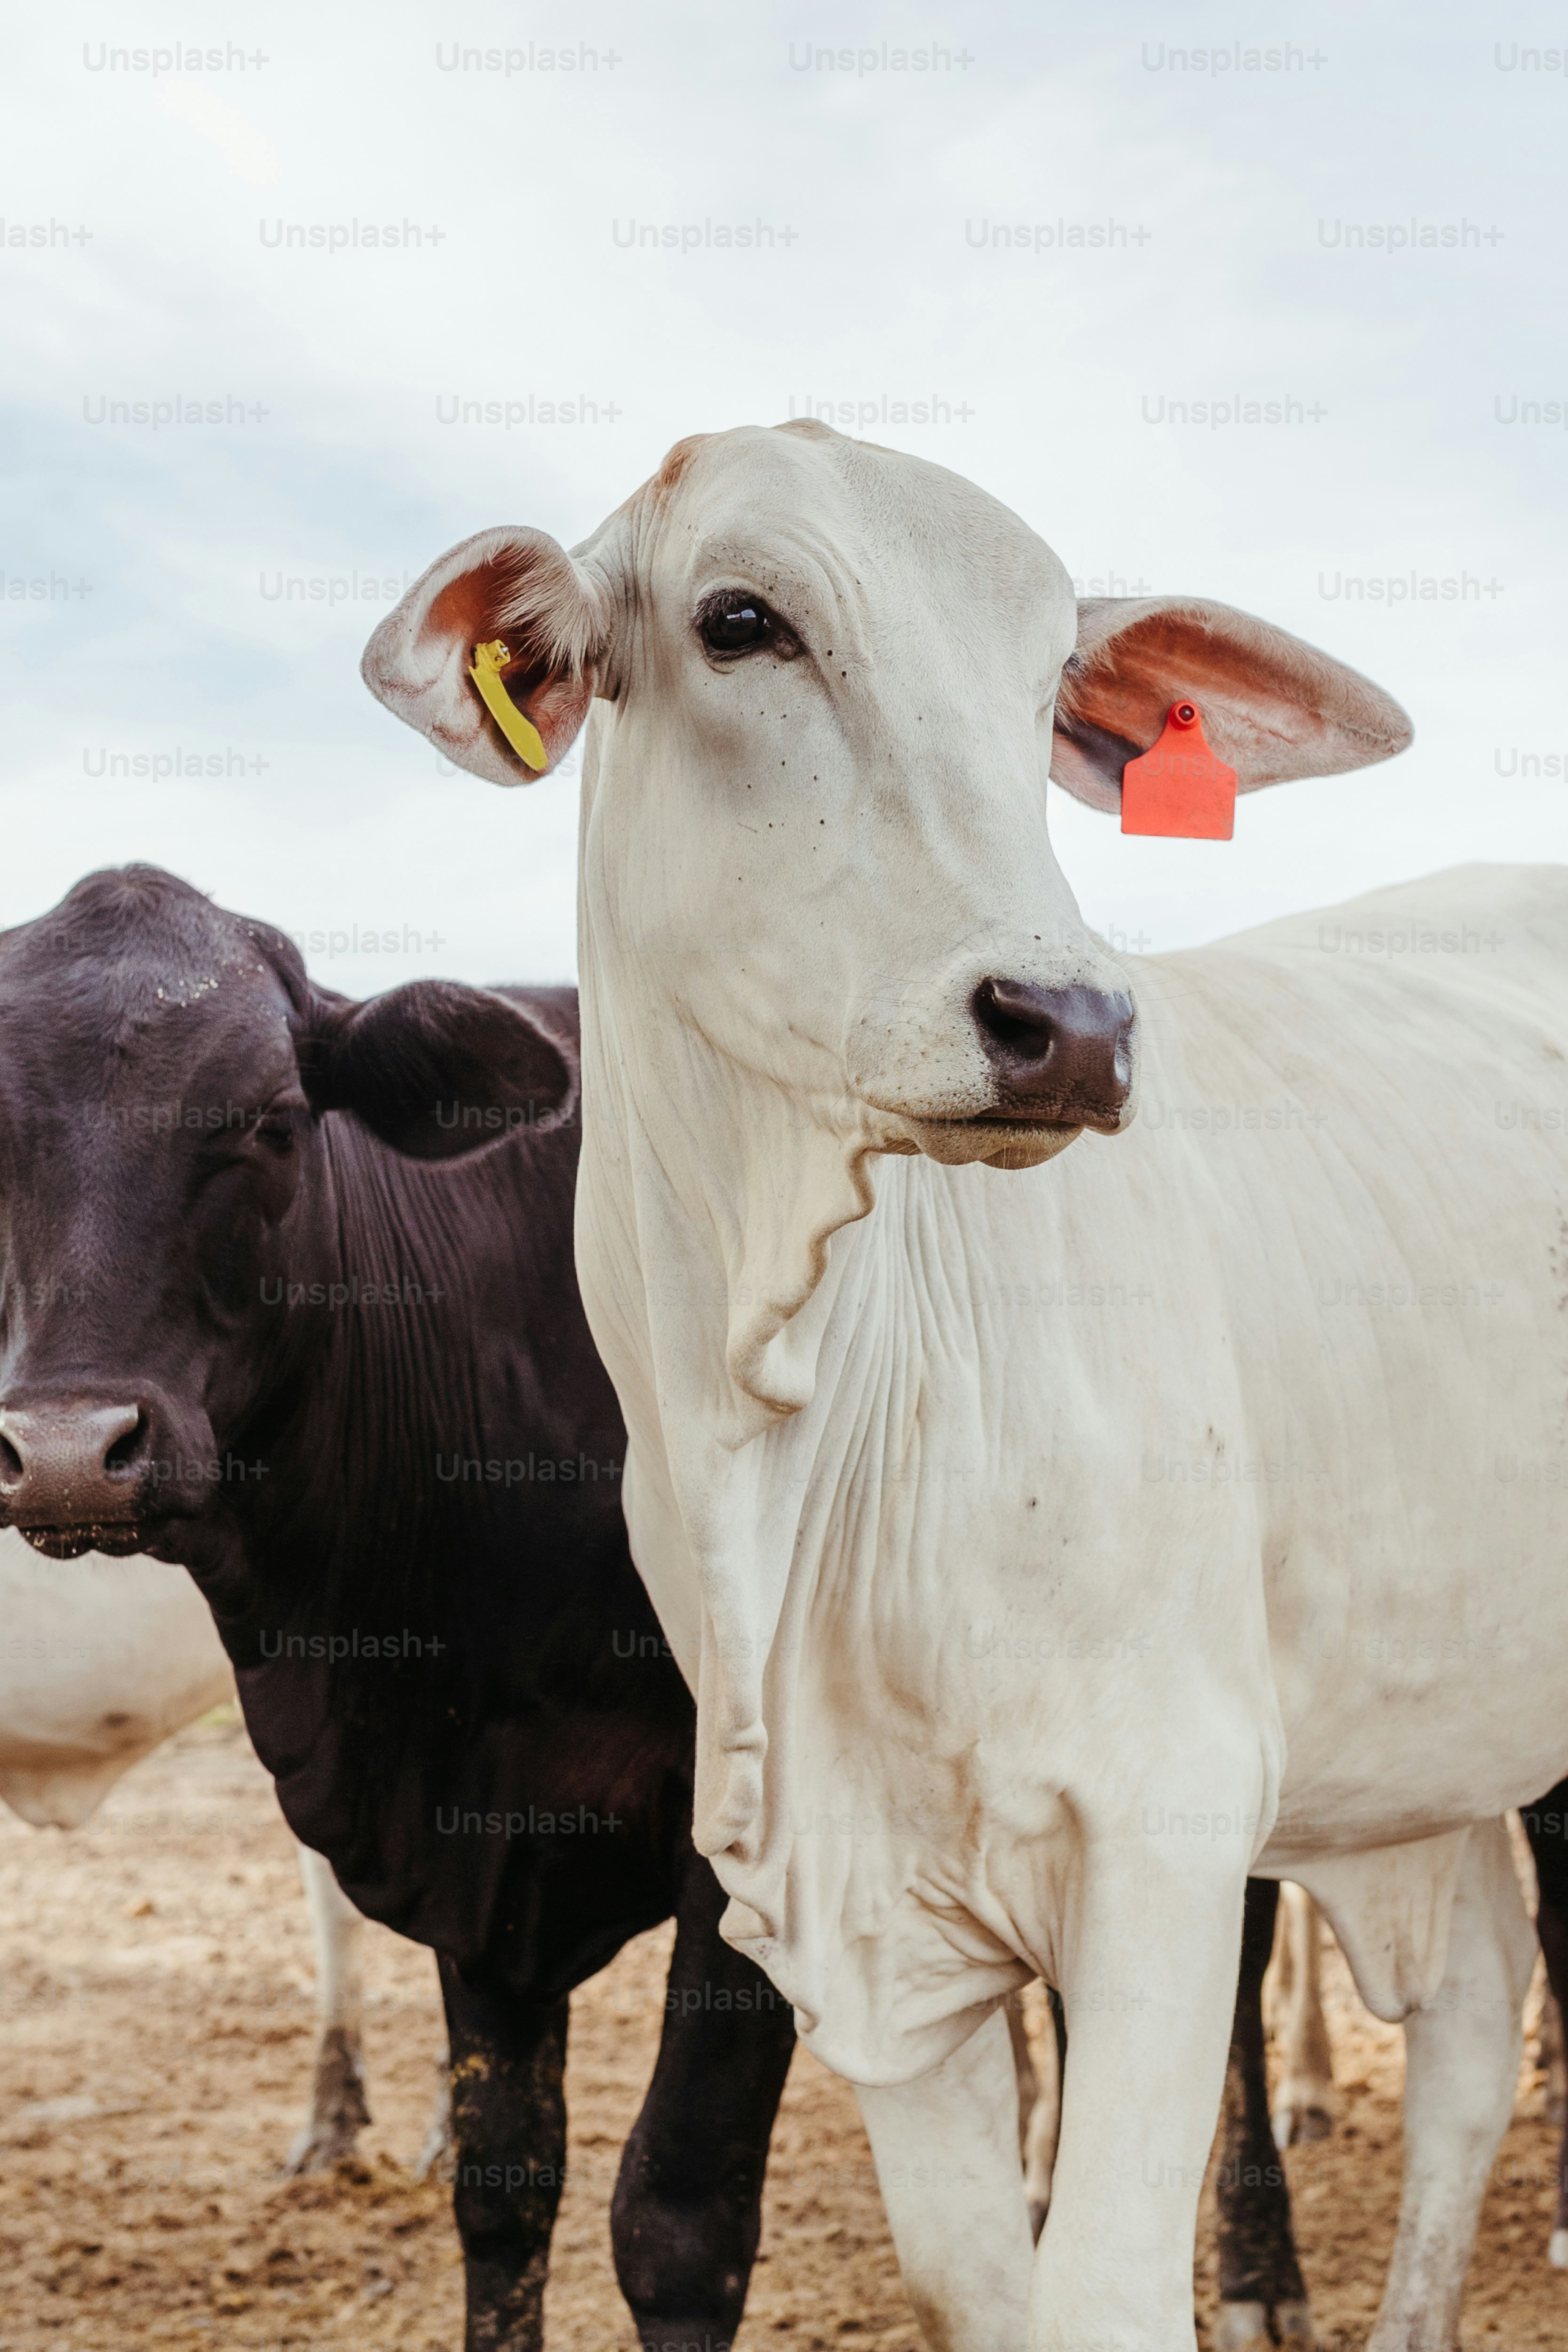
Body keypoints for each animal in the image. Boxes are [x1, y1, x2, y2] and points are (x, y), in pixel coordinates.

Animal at [362, 418, 1568, 2352]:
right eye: (740, 618)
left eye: (1045, 686)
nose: (1069, 1023)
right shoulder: (871, 1928)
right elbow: (973, 2280)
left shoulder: (1167, 1841)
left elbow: (1109, 2288)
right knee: (1468, 2016)